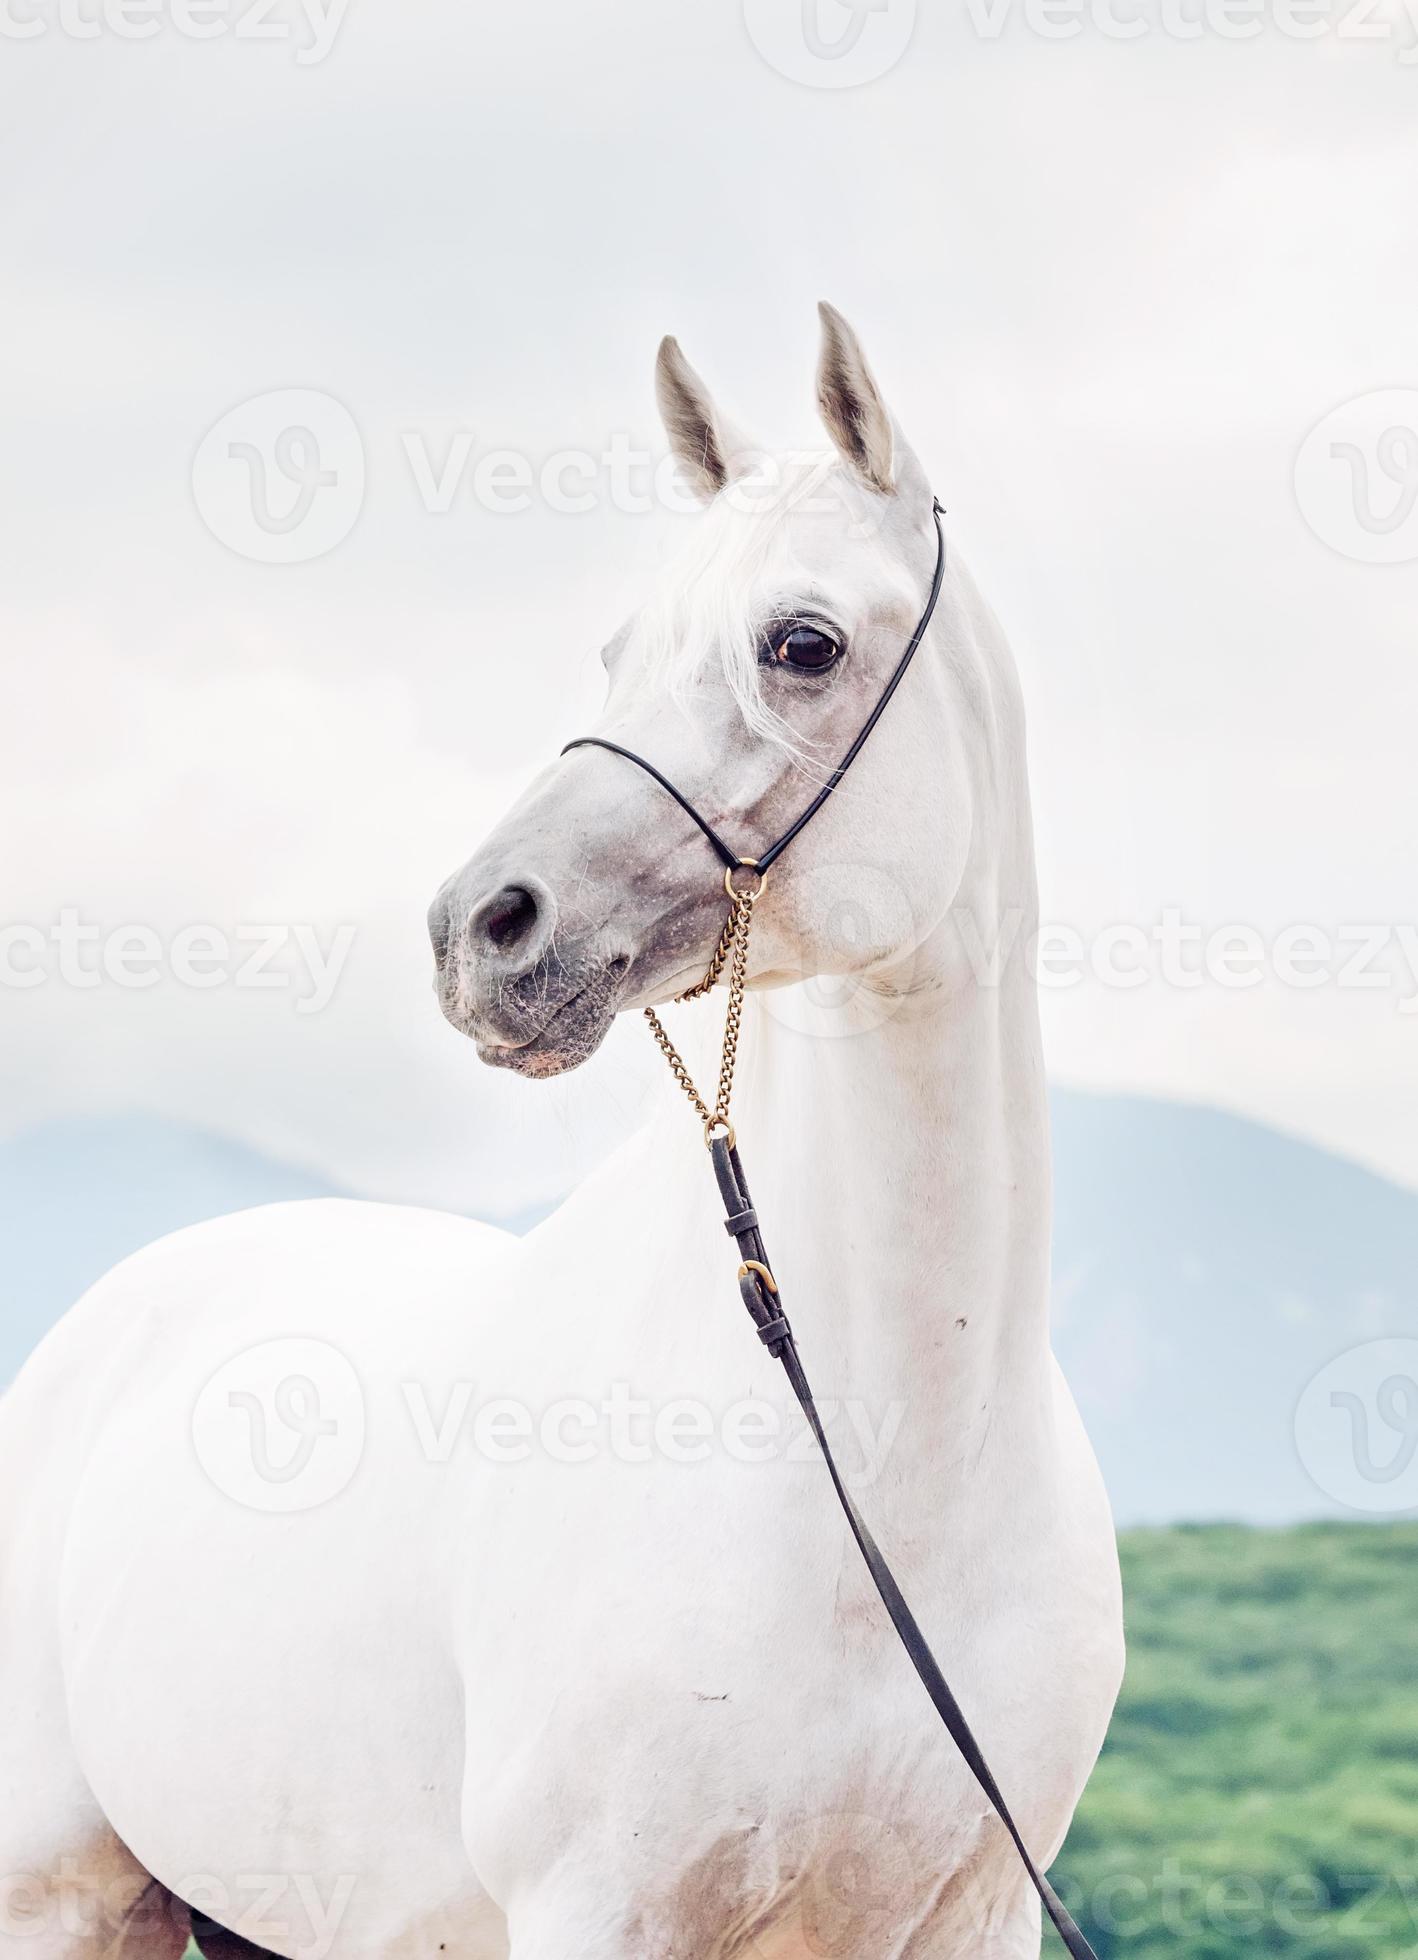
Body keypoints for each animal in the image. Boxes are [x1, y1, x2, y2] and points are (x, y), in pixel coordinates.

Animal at [0, 305, 1124, 1959]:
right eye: (617, 649)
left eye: (801, 643)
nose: (482, 931)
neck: (879, 1472)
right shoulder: (599, 1909)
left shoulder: (968, 1918)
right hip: (69, 1897)